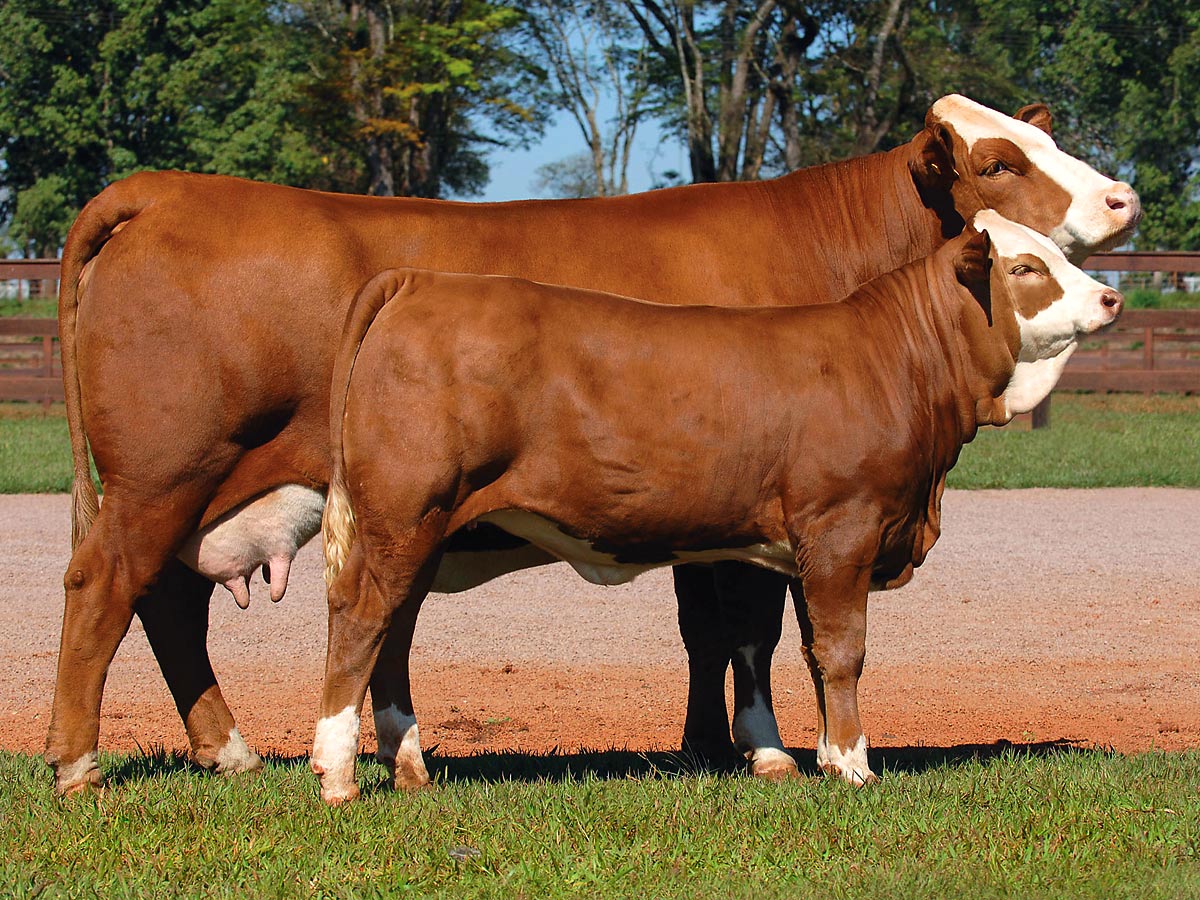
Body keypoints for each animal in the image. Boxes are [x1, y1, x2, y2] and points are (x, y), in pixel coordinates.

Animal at [314, 212, 1124, 803]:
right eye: (1023, 267)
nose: (1112, 297)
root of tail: (416, 280)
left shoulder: (807, 546)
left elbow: (803, 648)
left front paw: (825, 755)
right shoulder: (844, 527)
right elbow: (844, 650)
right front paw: (855, 766)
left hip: (420, 529)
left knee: (392, 633)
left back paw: (411, 768)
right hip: (405, 514)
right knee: (361, 620)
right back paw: (337, 773)